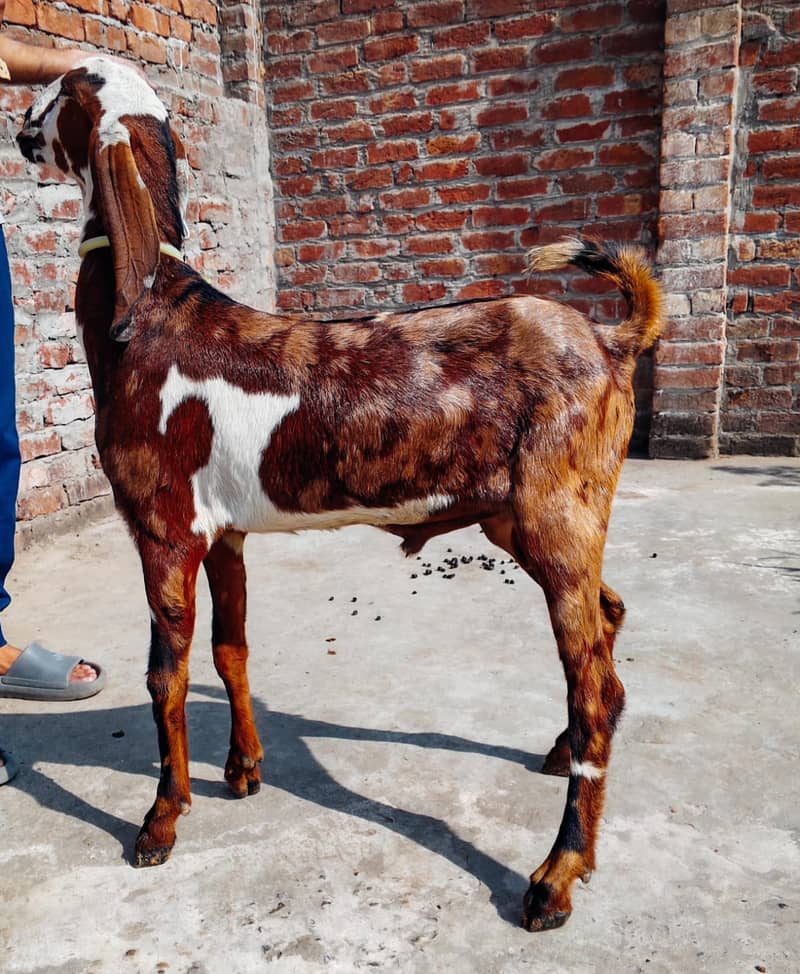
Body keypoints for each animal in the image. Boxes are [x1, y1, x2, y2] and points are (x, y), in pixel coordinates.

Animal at [18, 58, 663, 931]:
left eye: (61, 92)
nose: (20, 128)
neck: (148, 314)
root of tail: (611, 340)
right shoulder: (224, 532)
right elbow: (230, 647)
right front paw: (244, 768)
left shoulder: (164, 526)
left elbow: (164, 674)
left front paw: (162, 817)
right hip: (524, 518)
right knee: (609, 621)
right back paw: (564, 755)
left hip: (555, 512)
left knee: (592, 682)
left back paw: (558, 872)